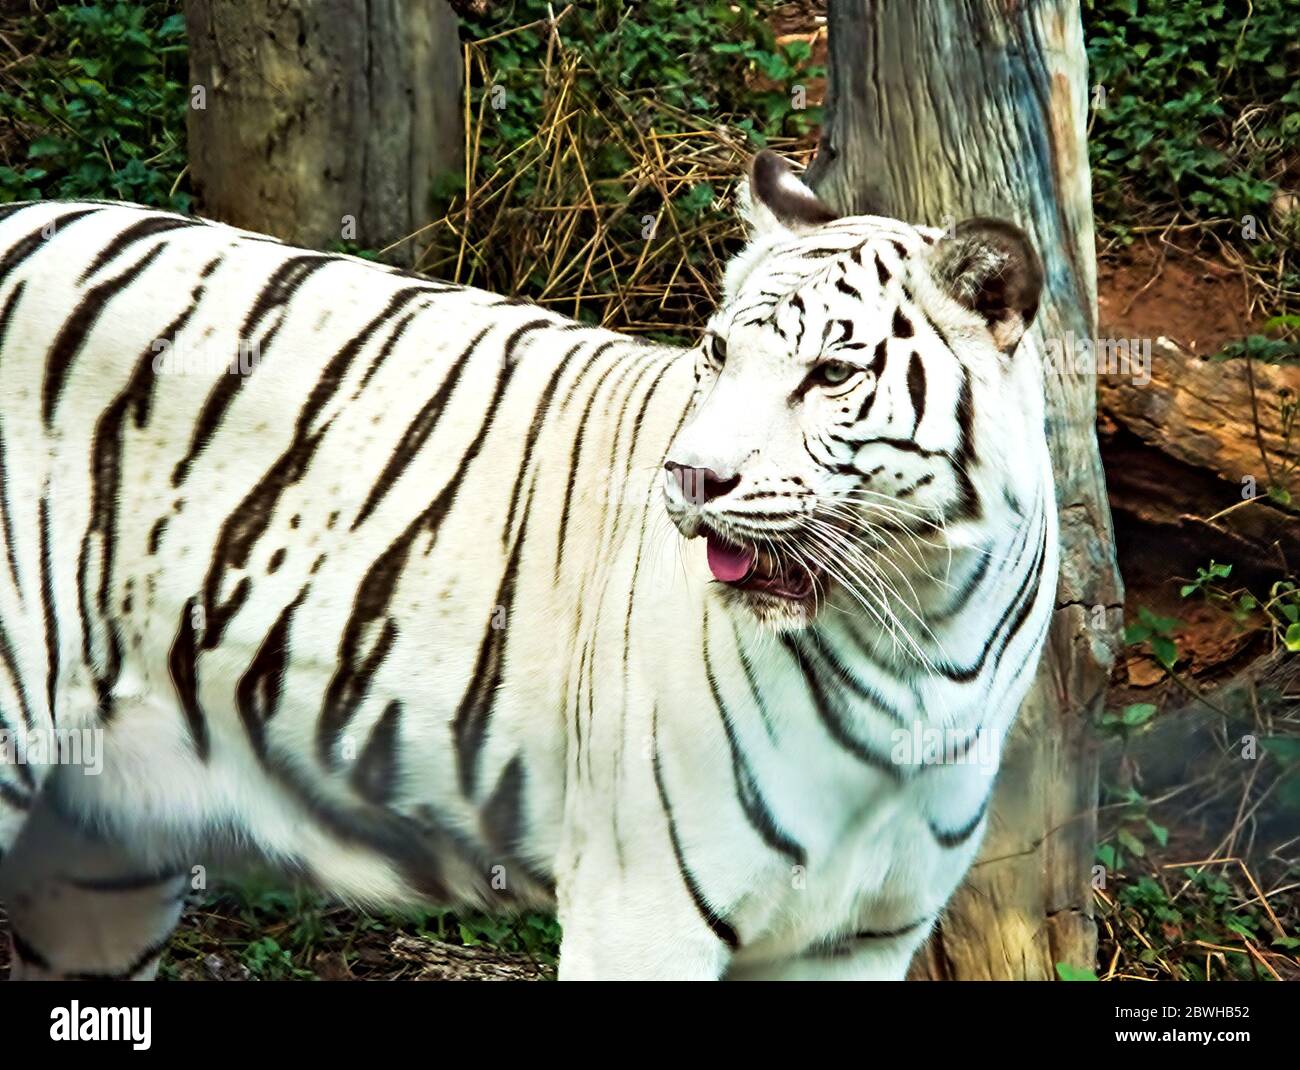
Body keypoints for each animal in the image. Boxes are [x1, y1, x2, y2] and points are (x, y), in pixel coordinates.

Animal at [0, 150, 1057, 981]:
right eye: (717, 352)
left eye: (832, 374)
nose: (690, 476)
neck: (921, 639)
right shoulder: (643, 916)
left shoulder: (862, 941)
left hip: (98, 865)